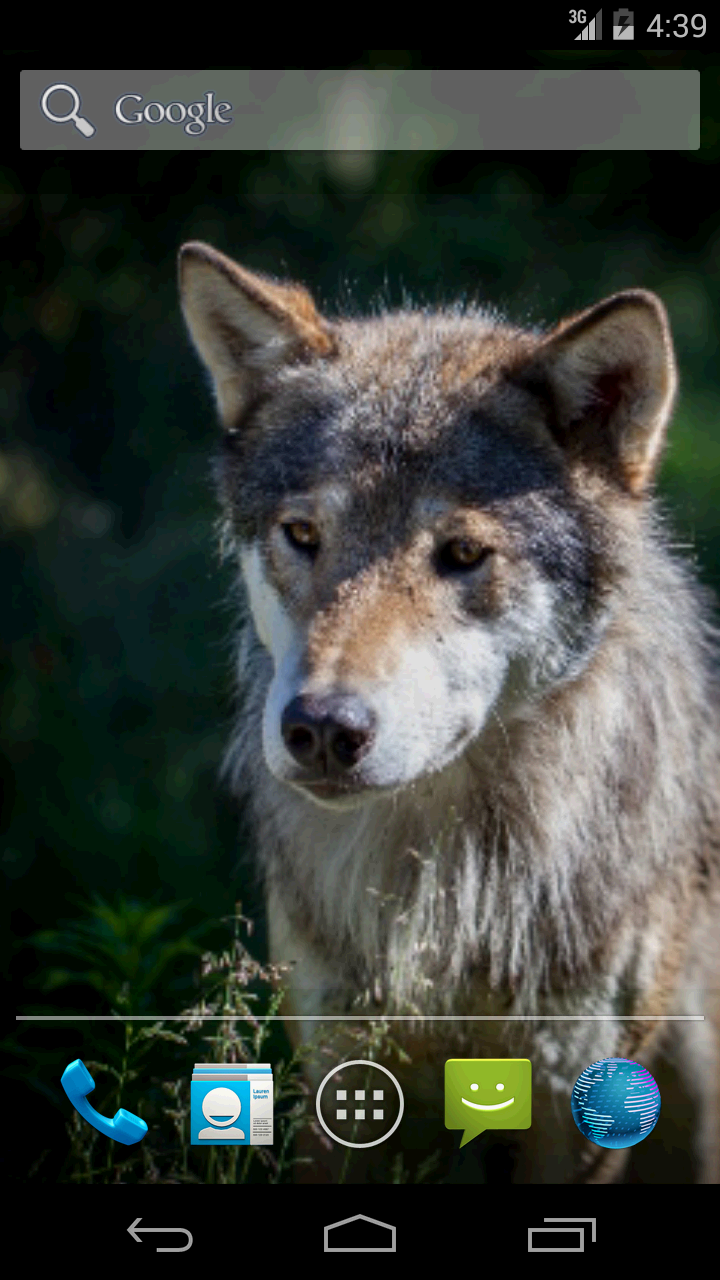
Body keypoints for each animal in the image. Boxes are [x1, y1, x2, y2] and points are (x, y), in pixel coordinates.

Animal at [179, 241, 720, 1183]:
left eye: (463, 553)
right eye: (303, 536)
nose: (323, 729)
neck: (450, 881)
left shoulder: (576, 1096)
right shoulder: (341, 1063)